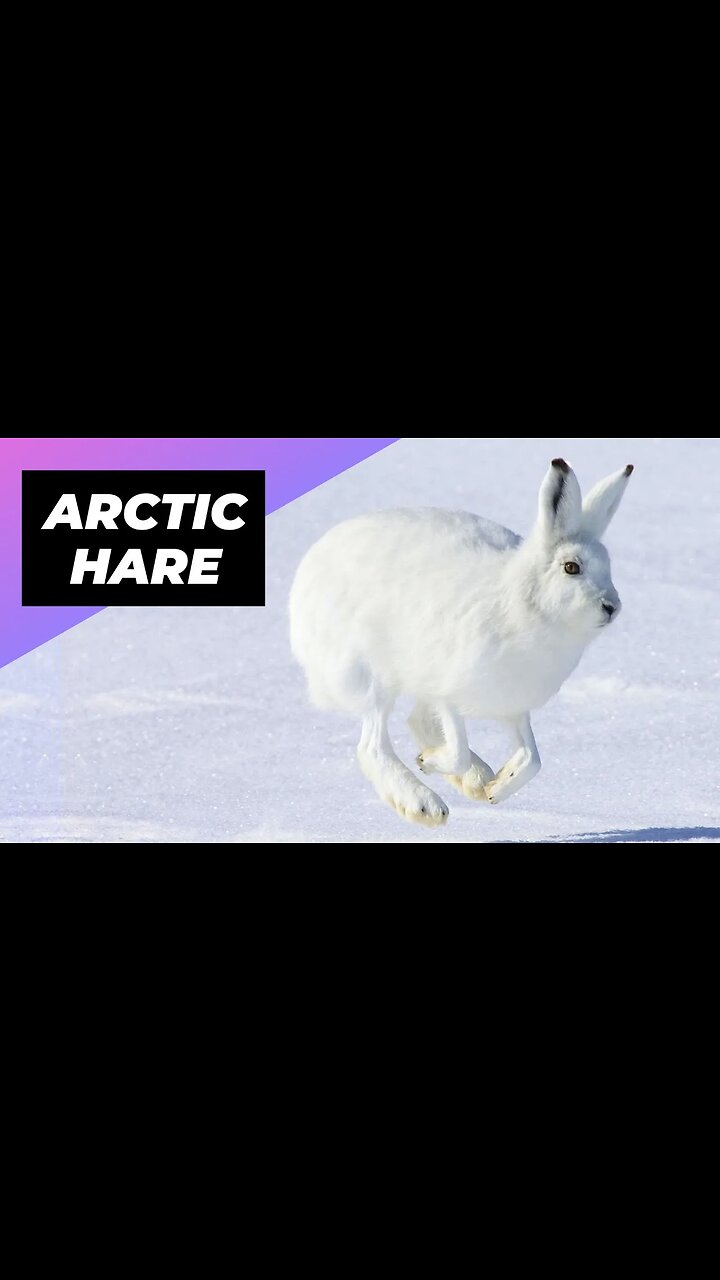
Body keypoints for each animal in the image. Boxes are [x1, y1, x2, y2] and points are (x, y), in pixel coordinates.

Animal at [289, 458, 633, 827]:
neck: (525, 605)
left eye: (608, 566)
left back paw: (478, 779)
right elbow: (457, 752)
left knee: (416, 723)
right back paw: (424, 804)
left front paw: (496, 788)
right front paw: (429, 763)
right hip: (373, 674)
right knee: (373, 746)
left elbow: (532, 758)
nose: (612, 606)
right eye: (571, 567)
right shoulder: (447, 691)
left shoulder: (513, 706)